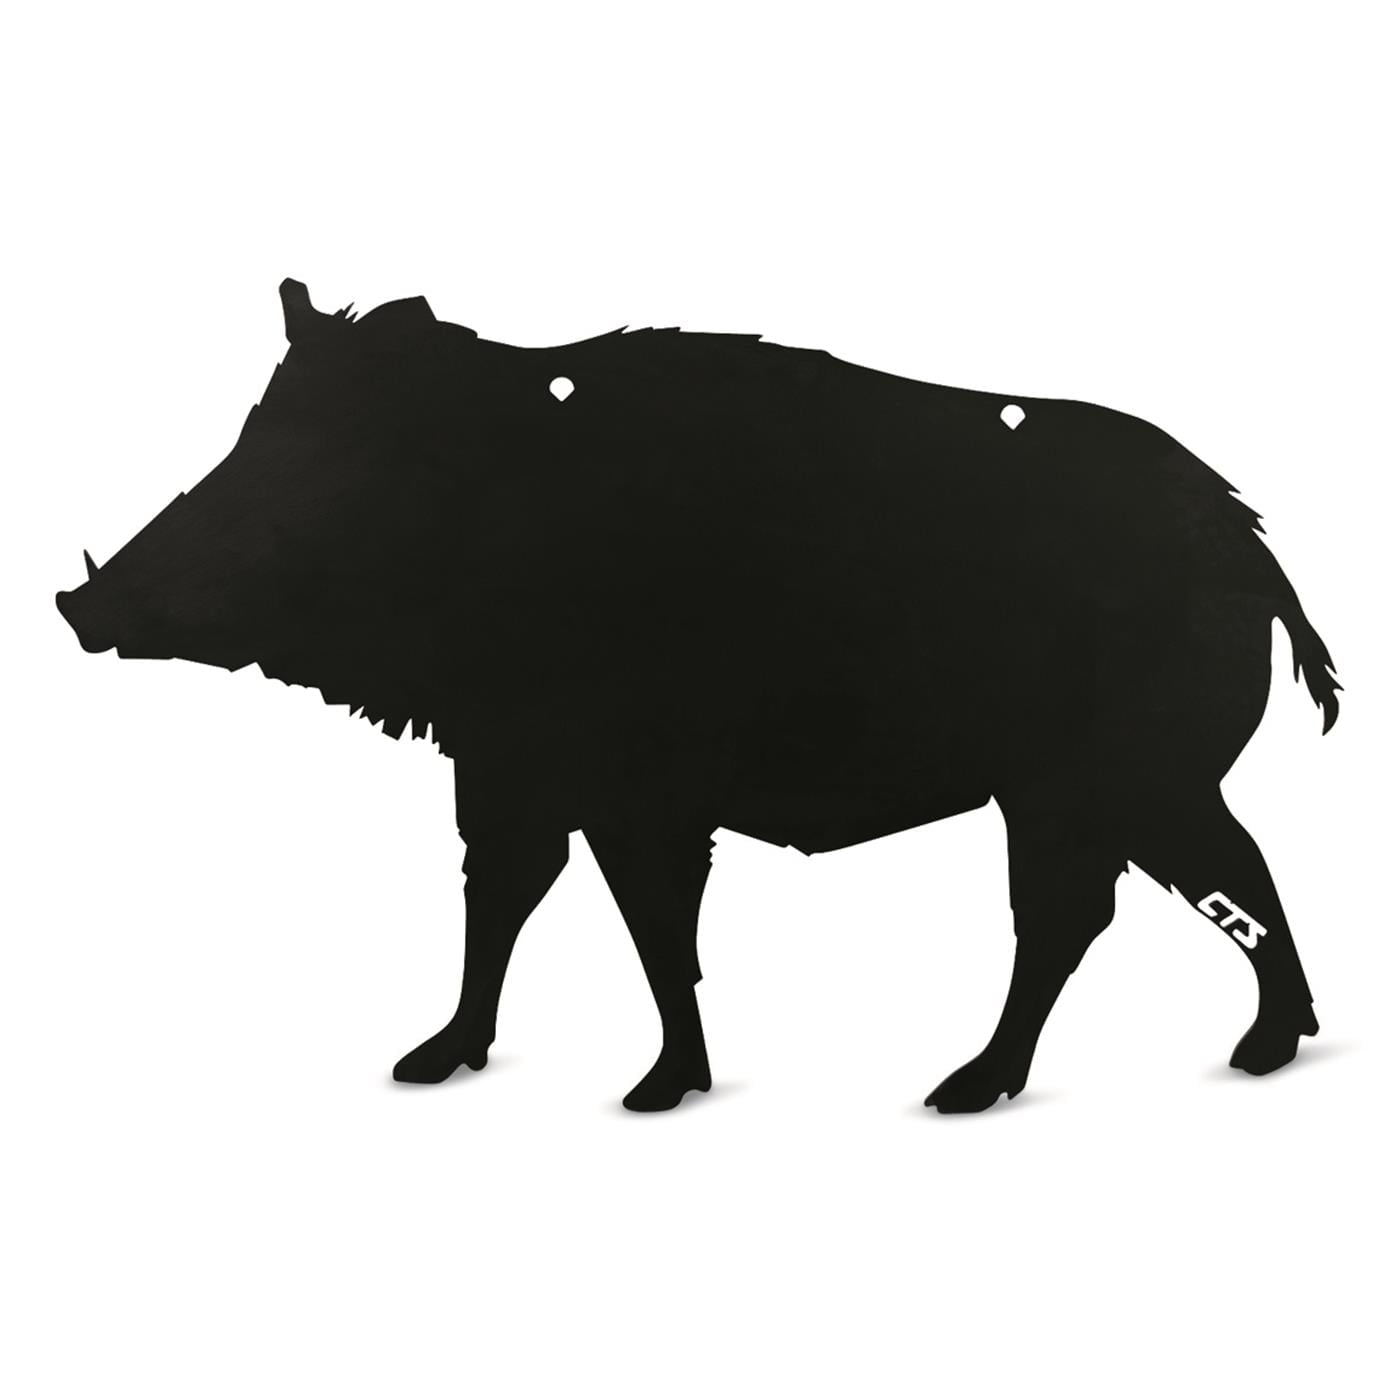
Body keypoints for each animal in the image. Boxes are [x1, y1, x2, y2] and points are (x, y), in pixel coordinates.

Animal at [56, 280, 1340, 1112]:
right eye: (255, 434)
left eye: (327, 458)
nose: (81, 602)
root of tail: (1250, 550)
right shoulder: (508, 766)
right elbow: (498, 898)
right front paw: (431, 1057)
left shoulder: (641, 791)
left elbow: (652, 926)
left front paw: (656, 1090)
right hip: (1126, 788)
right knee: (1202, 880)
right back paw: (1235, 1050)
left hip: (1099, 783)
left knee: (1100, 907)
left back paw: (985, 1084)